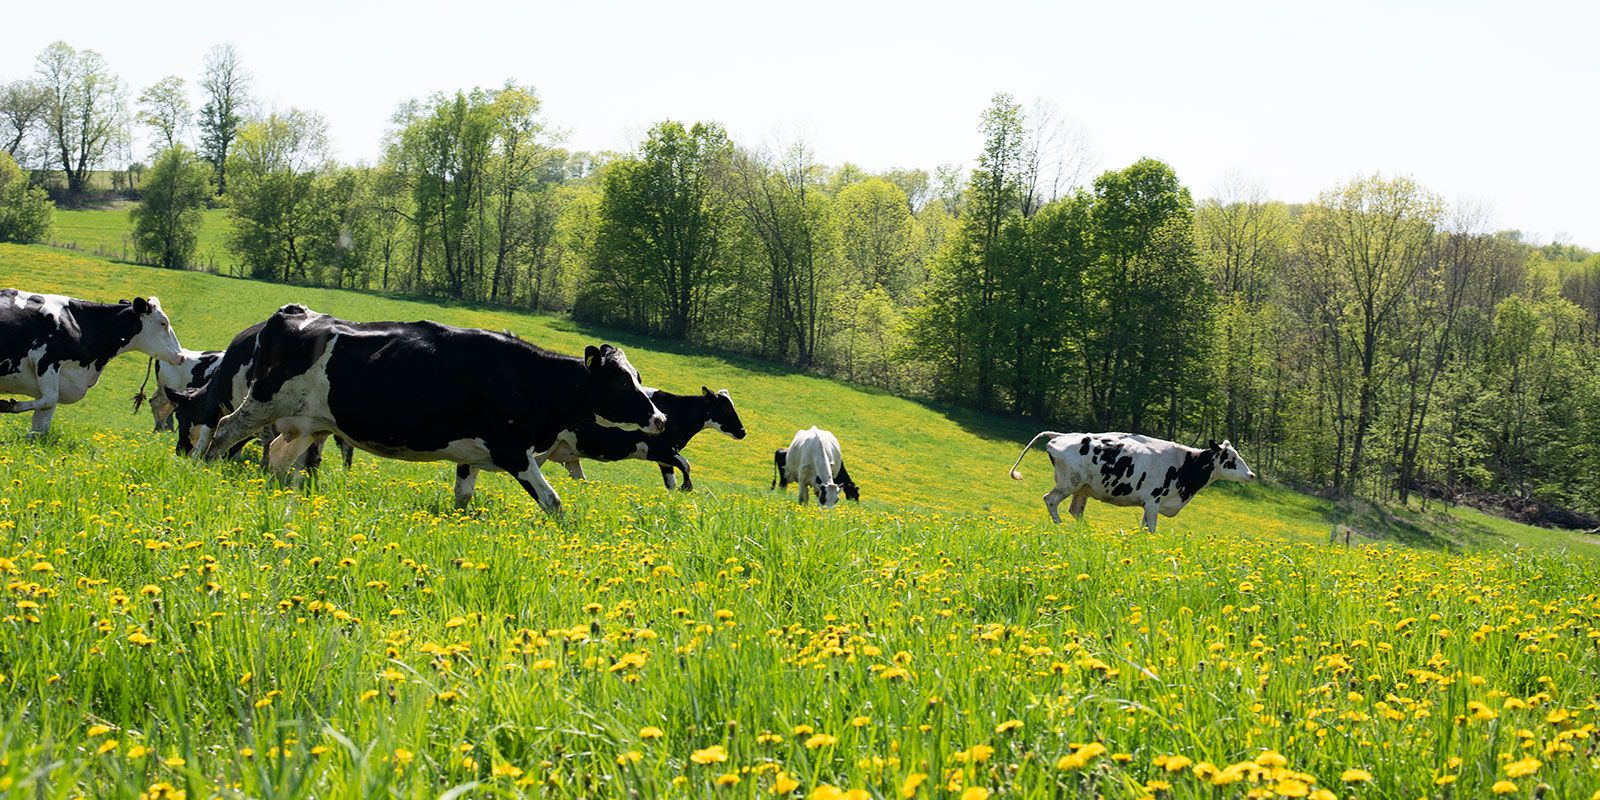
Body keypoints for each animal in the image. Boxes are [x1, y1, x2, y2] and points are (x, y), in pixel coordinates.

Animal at [1, 289, 183, 435]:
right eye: (163, 323)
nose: (180, 356)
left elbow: (42, 420)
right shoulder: (46, 360)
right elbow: (50, 400)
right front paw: (7, 405)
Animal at [202, 304, 666, 513]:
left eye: (638, 375)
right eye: (620, 381)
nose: (660, 419)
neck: (526, 379)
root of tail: (296, 312)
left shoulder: (473, 453)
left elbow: (463, 497)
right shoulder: (512, 450)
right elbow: (552, 502)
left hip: (306, 423)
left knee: (281, 459)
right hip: (261, 403)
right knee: (224, 429)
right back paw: (204, 472)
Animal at [537, 387, 746, 491]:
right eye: (727, 409)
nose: (743, 431)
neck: (677, 413)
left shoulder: (665, 458)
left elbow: (671, 483)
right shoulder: (660, 451)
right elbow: (686, 465)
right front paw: (687, 487)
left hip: (569, 451)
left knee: (579, 477)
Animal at [1008, 431, 1257, 531]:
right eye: (1231, 459)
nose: (1251, 475)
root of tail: (1060, 436)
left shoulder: (1149, 504)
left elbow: (1144, 527)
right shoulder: (1153, 501)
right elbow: (1152, 528)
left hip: (1082, 489)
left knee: (1075, 510)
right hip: (1069, 483)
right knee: (1050, 500)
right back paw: (1060, 527)